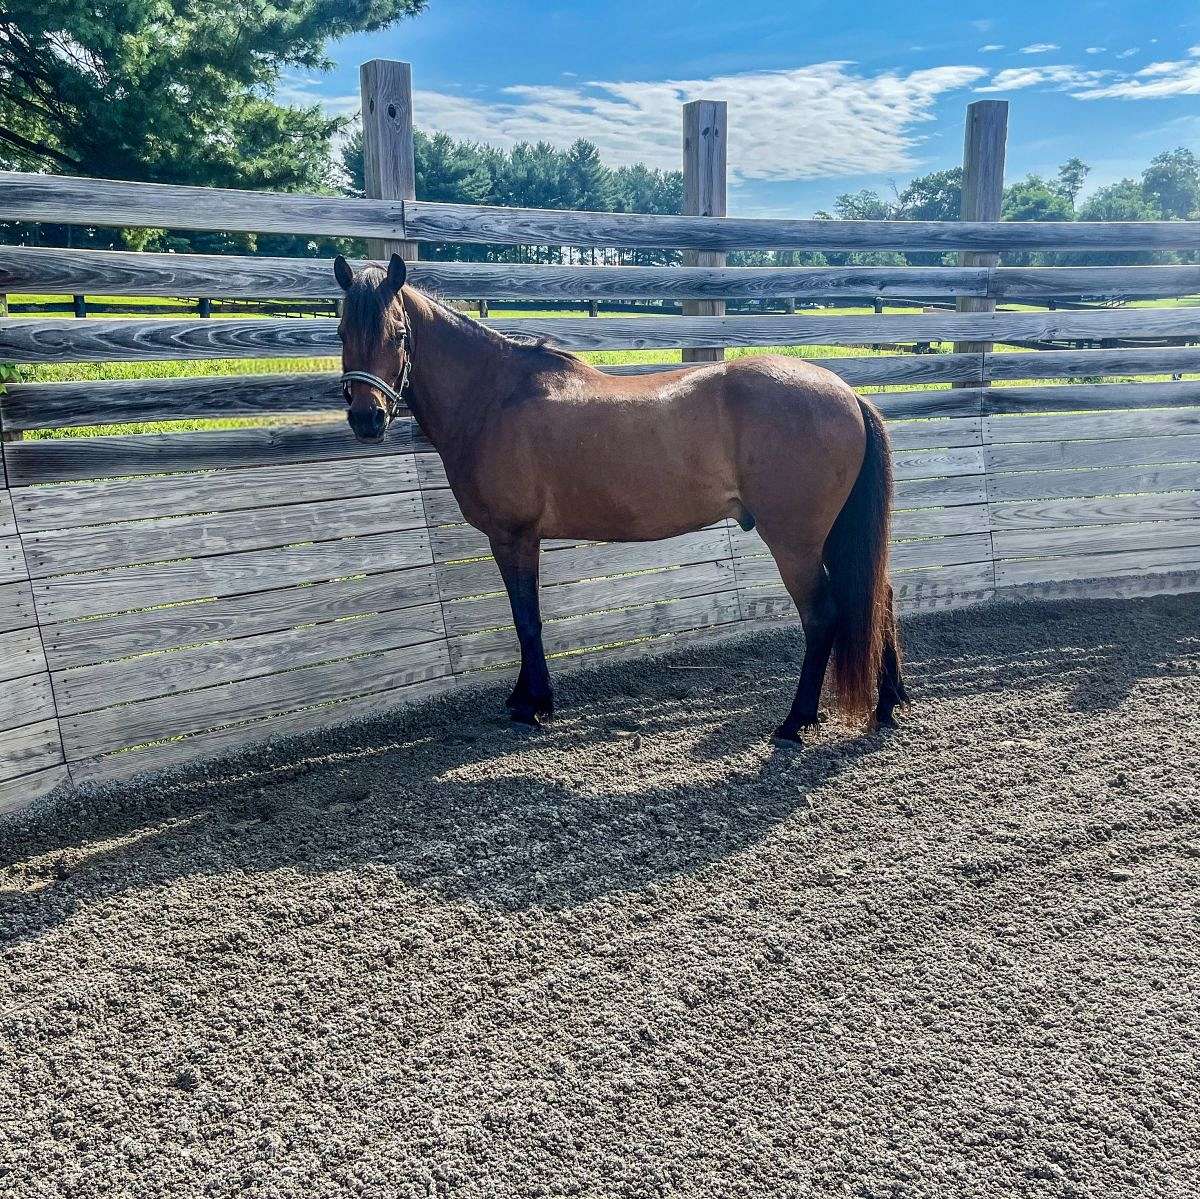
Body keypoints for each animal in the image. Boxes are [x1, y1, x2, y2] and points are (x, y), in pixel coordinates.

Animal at [333, 253, 908, 741]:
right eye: (342, 332)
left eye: (398, 334)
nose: (367, 418)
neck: (494, 396)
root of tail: (846, 392)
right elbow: (526, 615)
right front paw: (528, 698)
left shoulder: (513, 536)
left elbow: (526, 616)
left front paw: (532, 704)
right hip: (832, 535)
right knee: (877, 595)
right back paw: (887, 703)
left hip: (795, 540)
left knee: (823, 614)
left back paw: (795, 722)